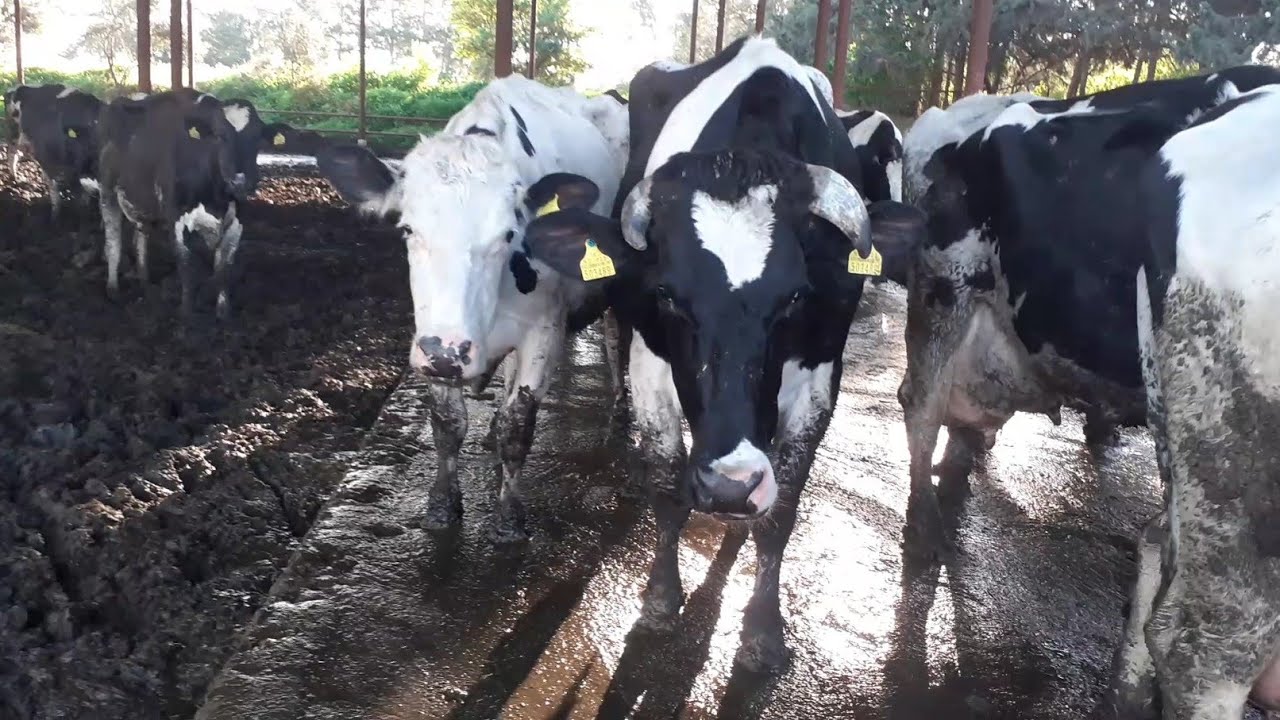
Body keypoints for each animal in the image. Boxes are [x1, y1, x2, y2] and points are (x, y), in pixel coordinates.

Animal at [4, 83, 104, 220]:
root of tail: (20, 87)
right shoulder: (50, 162)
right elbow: (57, 192)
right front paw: (55, 217)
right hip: (13, 133)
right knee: (12, 154)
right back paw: (14, 177)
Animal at [97, 90, 271, 319]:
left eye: (258, 138)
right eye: (220, 135)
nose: (241, 181)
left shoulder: (237, 222)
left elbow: (224, 267)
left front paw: (223, 312)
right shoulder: (176, 217)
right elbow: (186, 264)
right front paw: (187, 313)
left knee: (140, 236)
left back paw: (144, 281)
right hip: (107, 192)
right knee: (113, 241)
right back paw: (113, 289)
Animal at [311, 76, 630, 543]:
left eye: (510, 233)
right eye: (408, 229)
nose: (448, 353)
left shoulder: (543, 332)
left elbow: (519, 426)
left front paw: (509, 518)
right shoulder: (435, 340)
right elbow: (448, 424)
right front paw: (442, 506)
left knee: (614, 339)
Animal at [523, 36, 926, 670]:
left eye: (795, 296)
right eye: (668, 294)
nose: (731, 487)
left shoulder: (821, 376)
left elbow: (782, 509)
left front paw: (762, 628)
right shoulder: (651, 361)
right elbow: (666, 486)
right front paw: (660, 600)